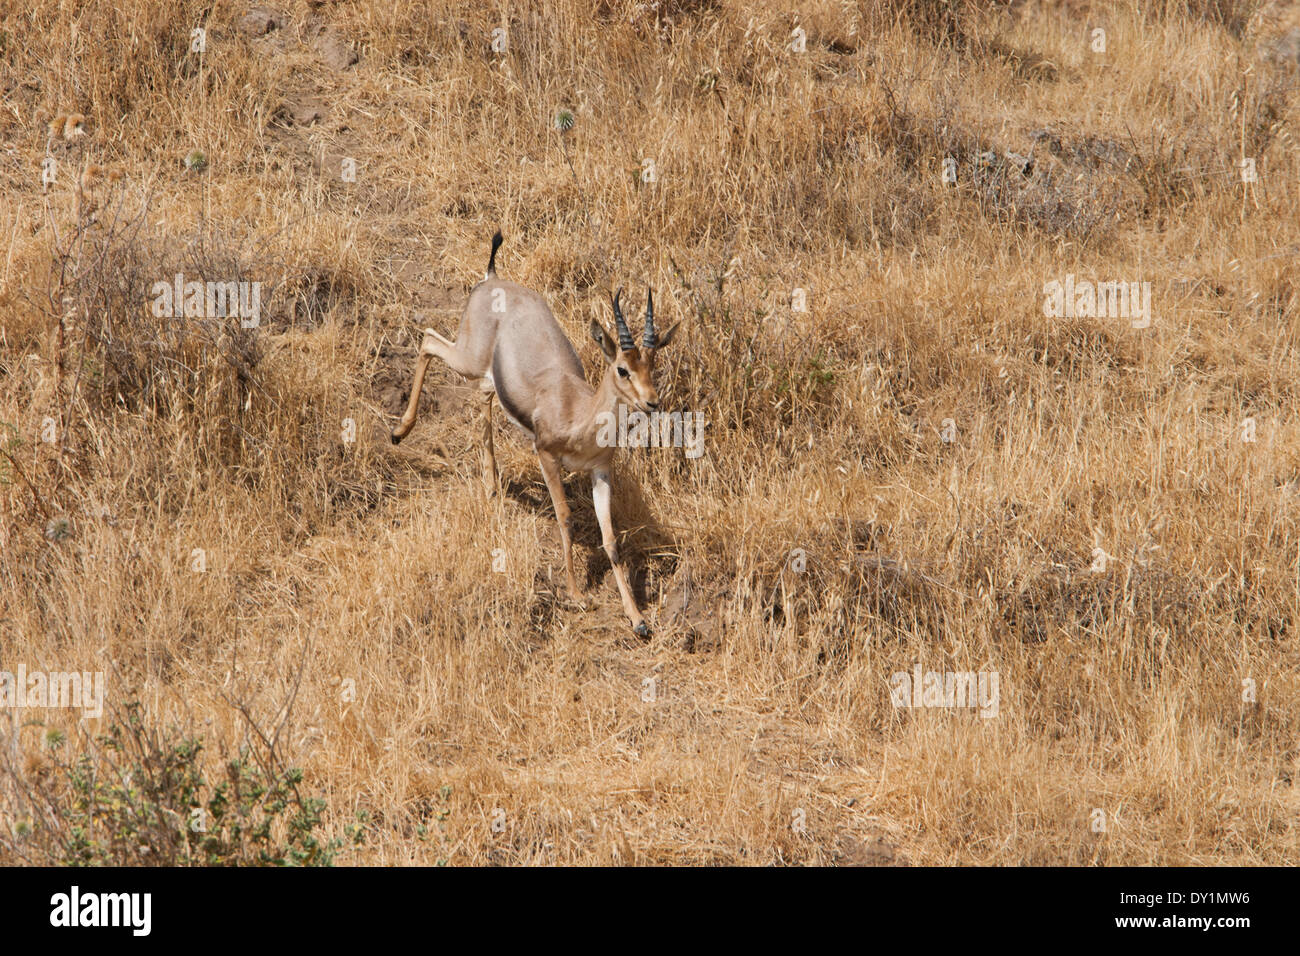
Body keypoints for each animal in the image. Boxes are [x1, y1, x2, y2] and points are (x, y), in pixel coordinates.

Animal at [391, 231, 677, 637]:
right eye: (623, 369)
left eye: (652, 365)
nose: (652, 402)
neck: (579, 415)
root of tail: (492, 279)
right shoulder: (547, 456)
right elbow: (566, 518)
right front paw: (576, 593)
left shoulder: (601, 471)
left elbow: (610, 540)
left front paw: (637, 619)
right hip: (466, 359)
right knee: (428, 340)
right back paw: (400, 432)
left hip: (486, 376)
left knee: (482, 398)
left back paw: (491, 486)